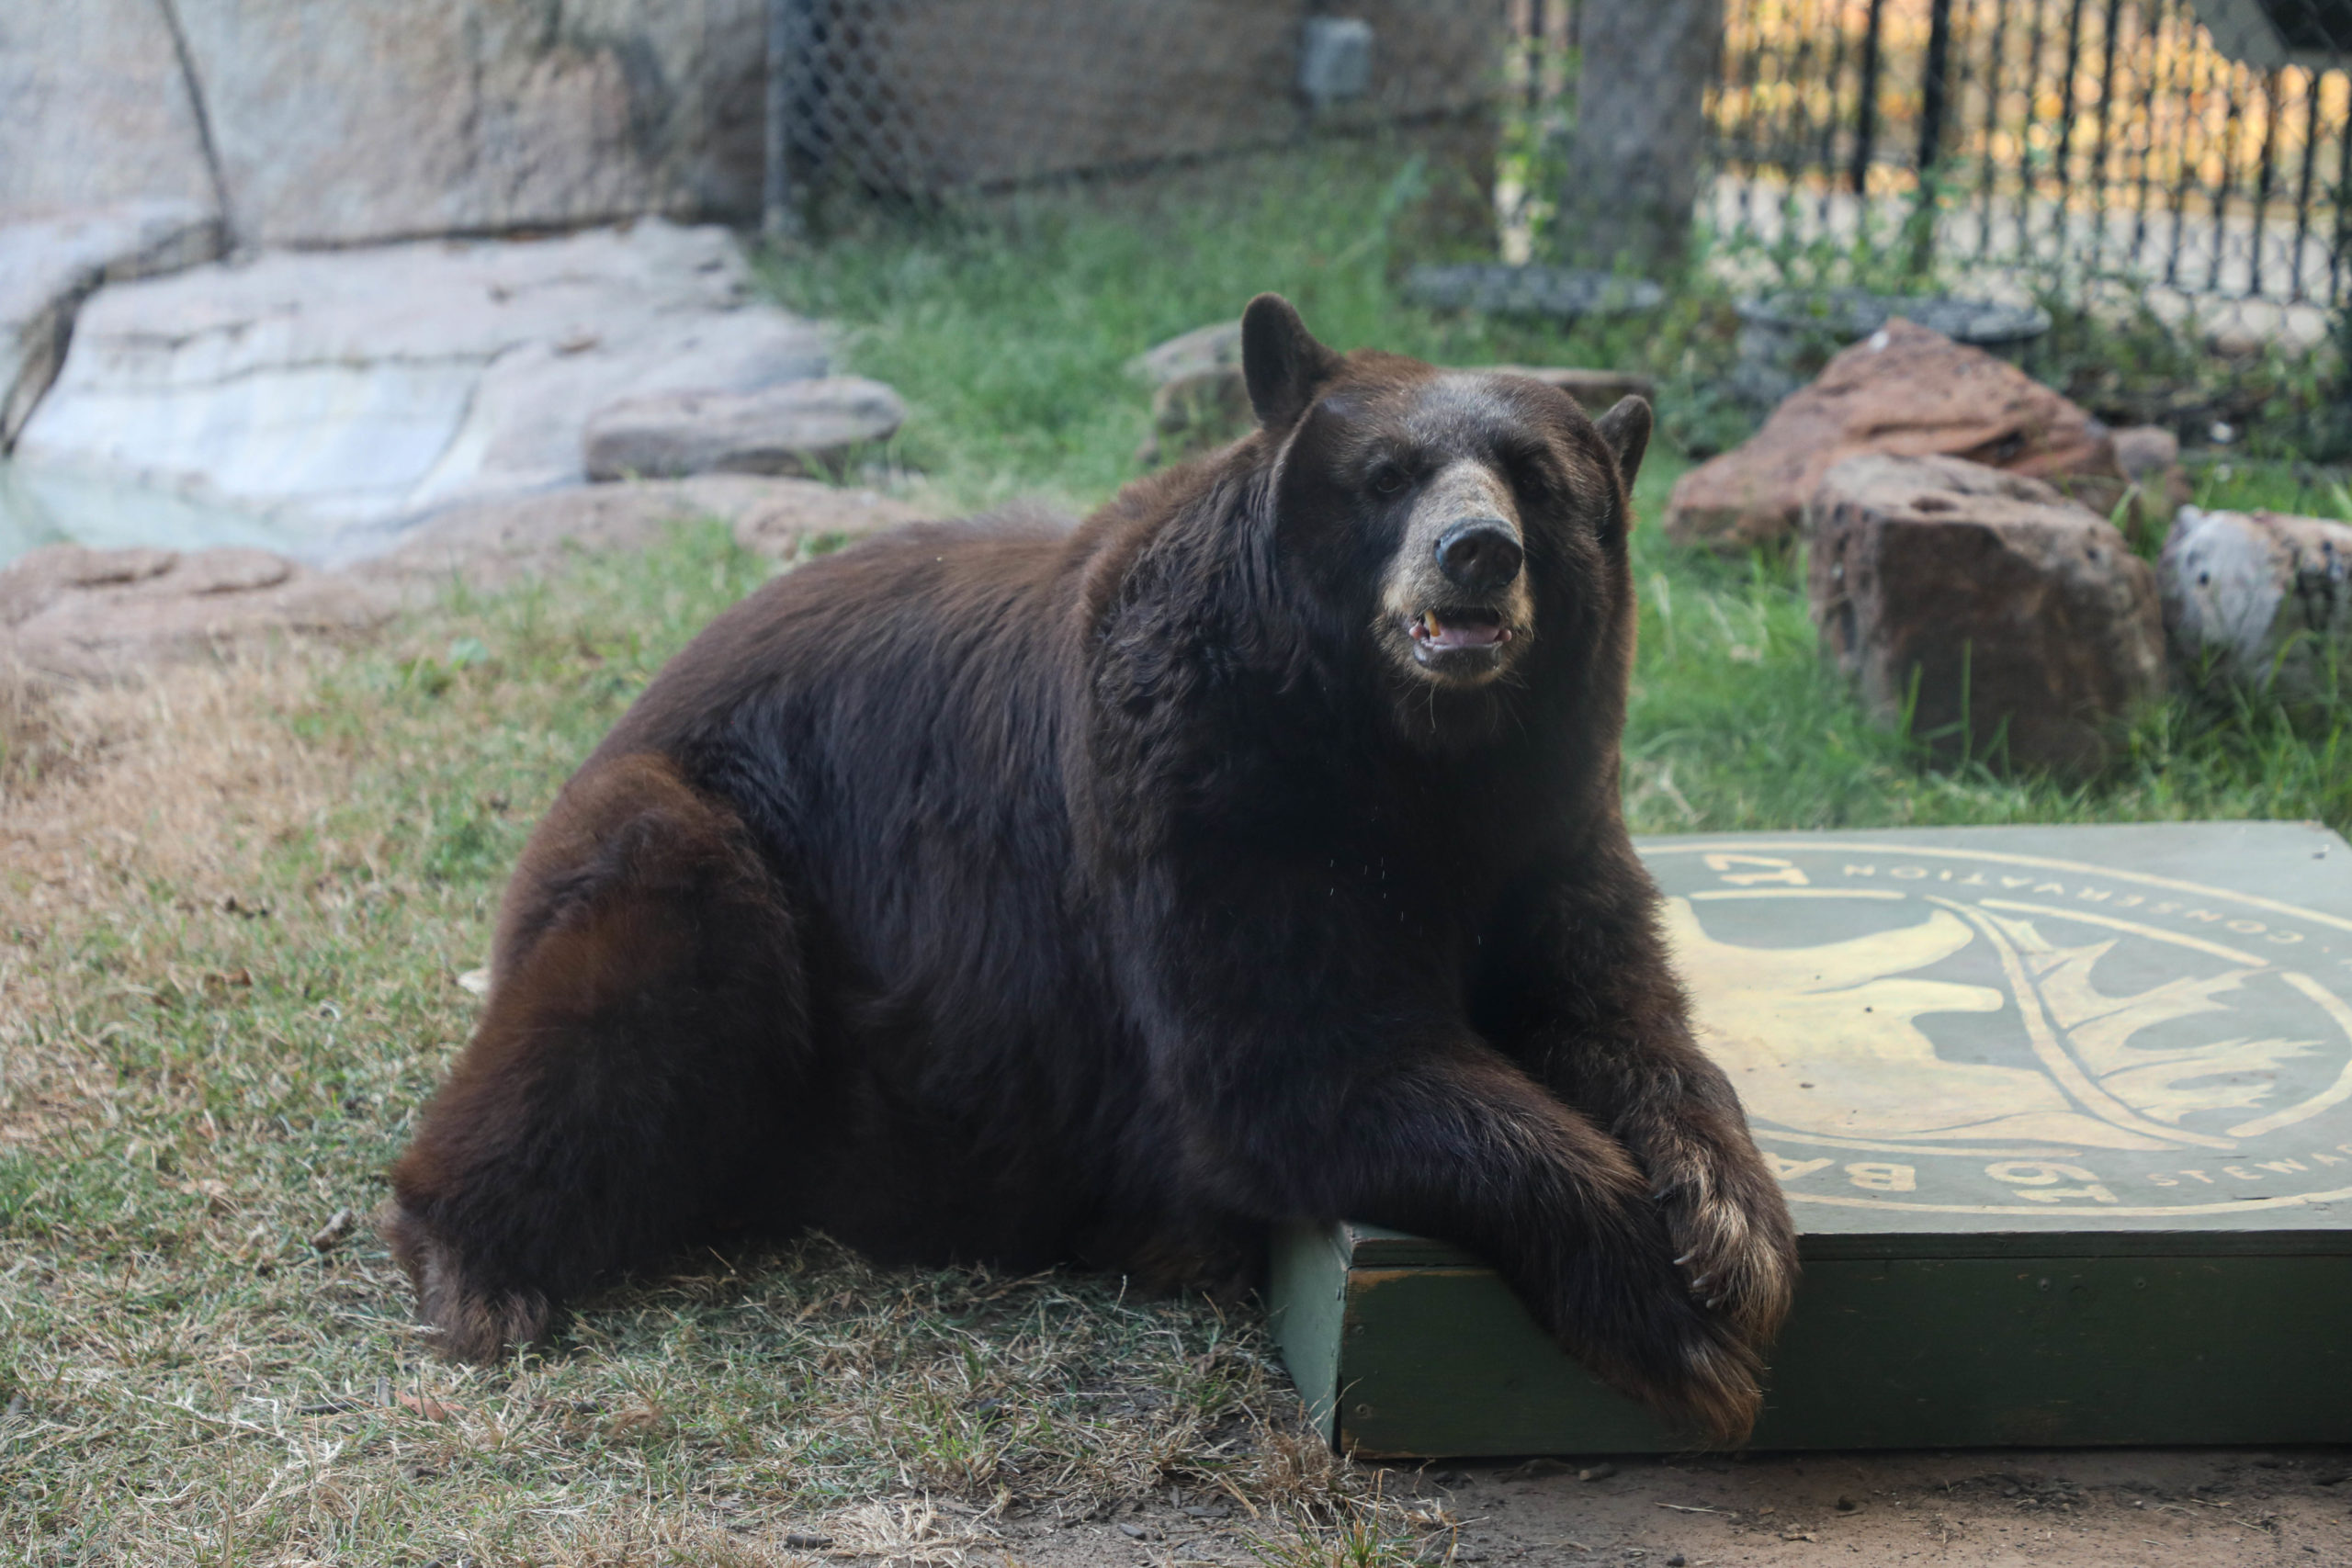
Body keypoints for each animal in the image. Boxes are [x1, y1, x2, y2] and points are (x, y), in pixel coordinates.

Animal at [385, 294, 1798, 1442]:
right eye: (1387, 475)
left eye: (1539, 480)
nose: (1475, 556)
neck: (1413, 749)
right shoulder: (1202, 787)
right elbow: (1297, 1061)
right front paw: (1669, 1316)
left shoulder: (1551, 811)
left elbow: (1614, 1007)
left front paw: (1732, 1224)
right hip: (705, 838)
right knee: (630, 986)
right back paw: (482, 1262)